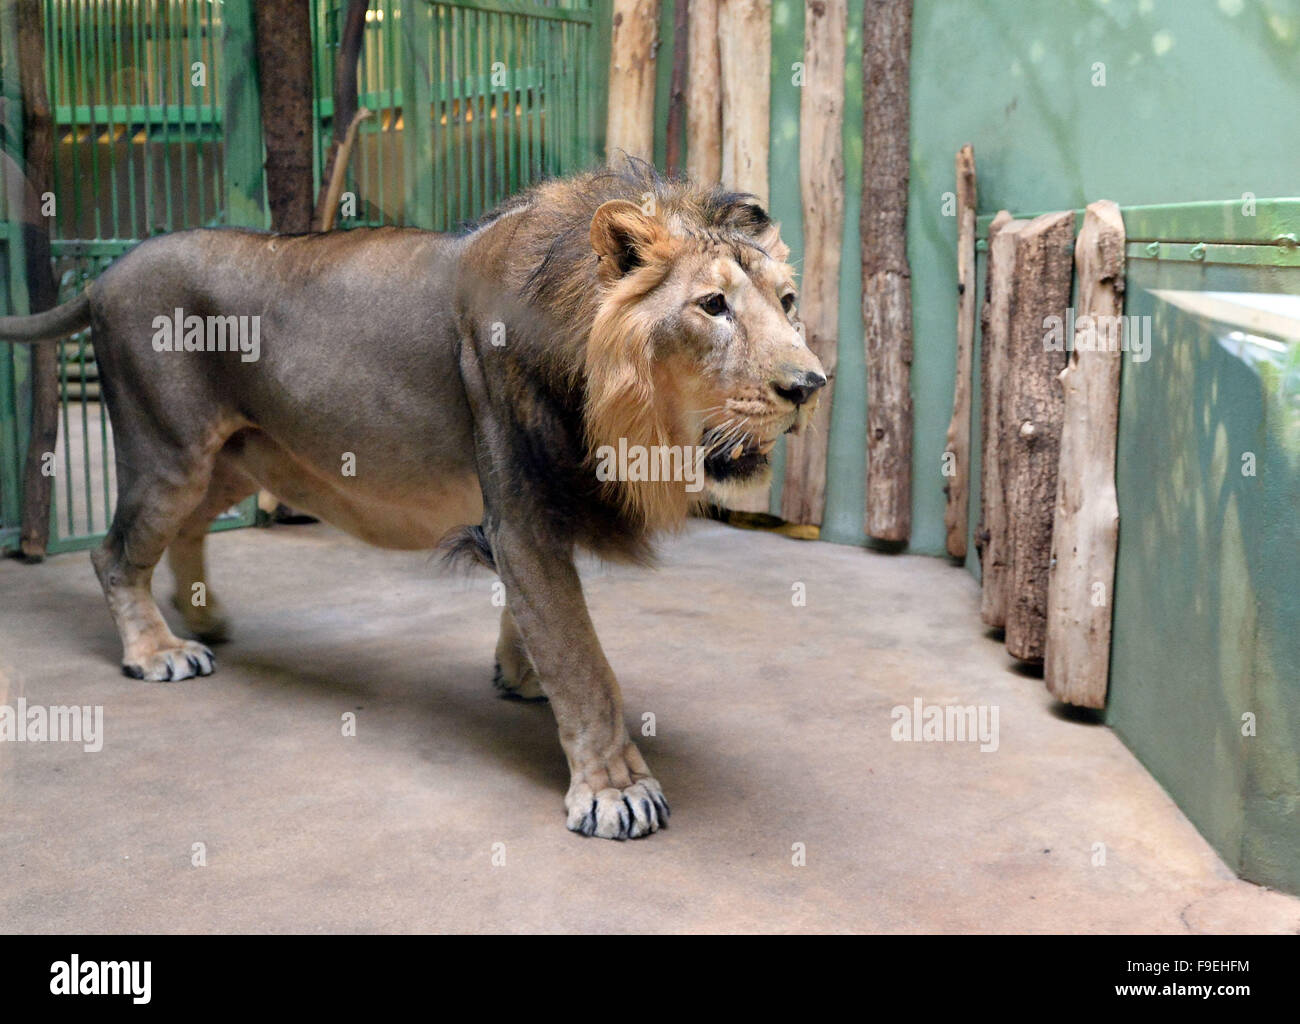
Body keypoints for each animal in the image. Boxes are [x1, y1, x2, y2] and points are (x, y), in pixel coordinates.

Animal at [0, 160, 826, 839]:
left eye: (788, 303)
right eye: (712, 305)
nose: (810, 385)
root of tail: (105, 276)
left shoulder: (530, 517)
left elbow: (537, 618)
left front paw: (519, 674)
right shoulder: (522, 509)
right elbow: (583, 657)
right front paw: (615, 790)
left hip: (233, 457)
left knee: (186, 529)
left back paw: (203, 617)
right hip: (169, 450)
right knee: (115, 555)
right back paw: (158, 652)